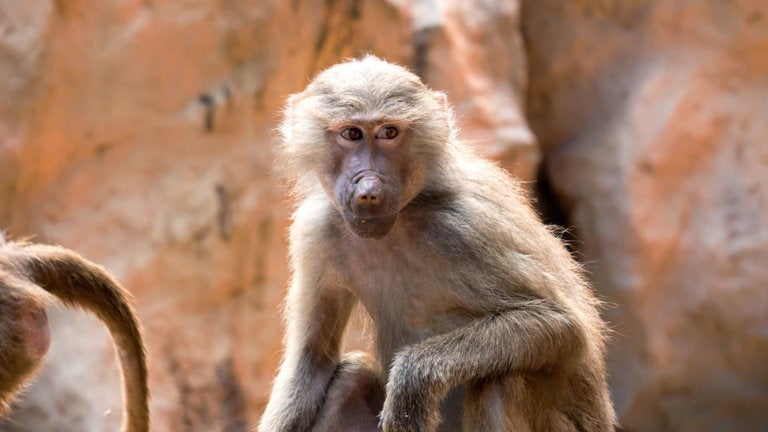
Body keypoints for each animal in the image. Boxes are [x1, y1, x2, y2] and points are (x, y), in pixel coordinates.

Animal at [258, 55, 616, 432]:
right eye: (352, 134)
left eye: (389, 132)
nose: (369, 191)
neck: (404, 216)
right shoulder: (317, 231)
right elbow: (312, 361)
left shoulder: (467, 225)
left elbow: (563, 325)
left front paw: (412, 382)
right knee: (350, 380)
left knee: (501, 381)